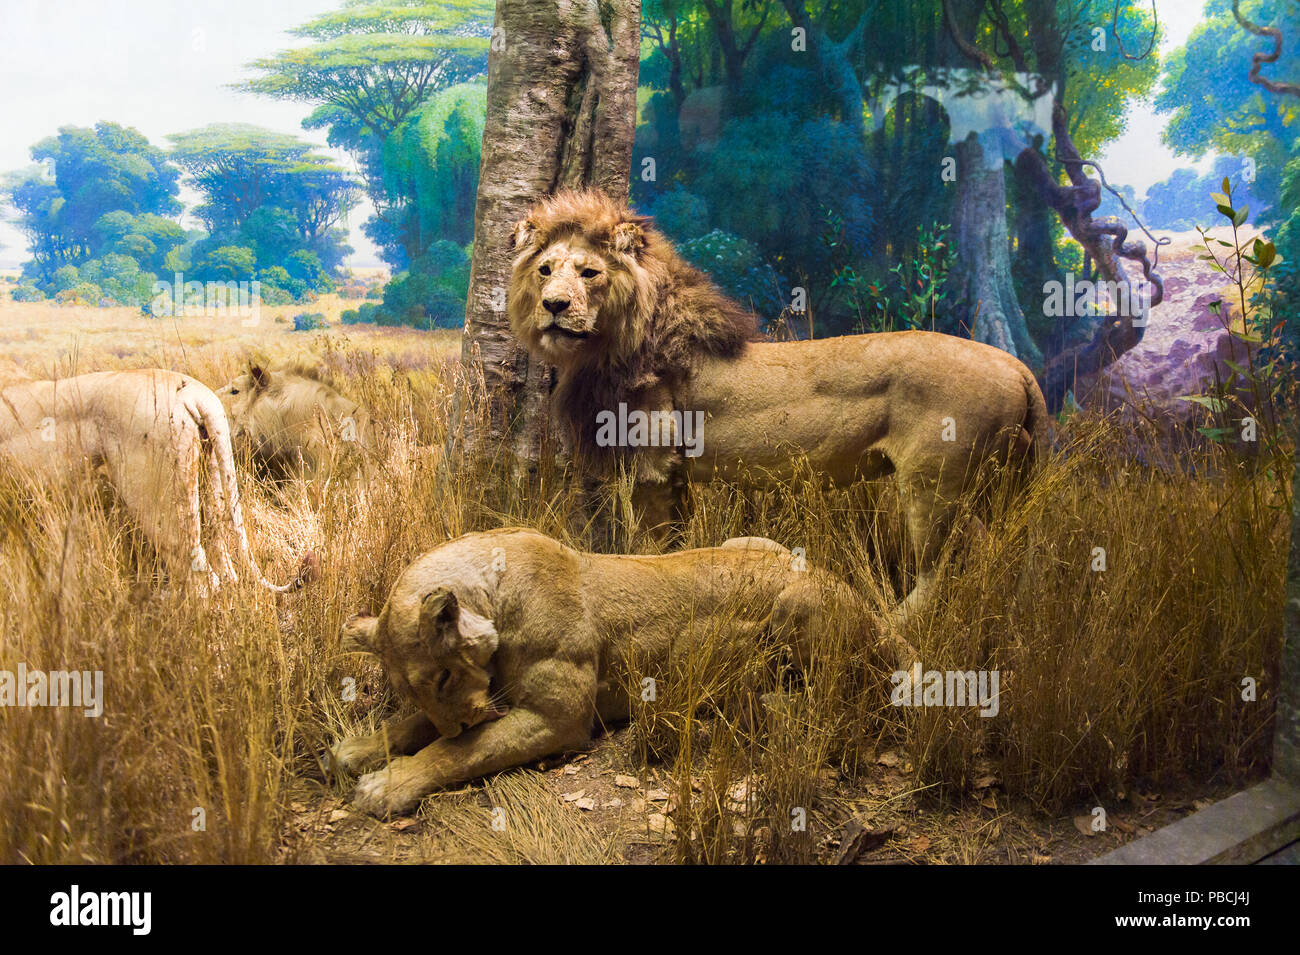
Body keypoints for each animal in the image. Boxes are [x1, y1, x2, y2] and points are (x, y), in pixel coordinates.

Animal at [331, 527, 911, 816]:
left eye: (443, 678)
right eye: (415, 689)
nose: (457, 720)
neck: (494, 594)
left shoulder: (559, 719)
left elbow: (457, 752)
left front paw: (386, 785)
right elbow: (415, 729)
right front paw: (358, 750)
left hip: (796, 603)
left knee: (843, 694)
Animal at [507, 189, 1049, 616]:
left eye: (589, 273)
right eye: (545, 270)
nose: (554, 306)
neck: (610, 345)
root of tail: (1019, 369)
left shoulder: (654, 469)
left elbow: (650, 546)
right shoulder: (675, 475)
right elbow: (677, 540)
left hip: (935, 486)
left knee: (944, 572)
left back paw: (890, 624)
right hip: (998, 485)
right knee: (997, 552)